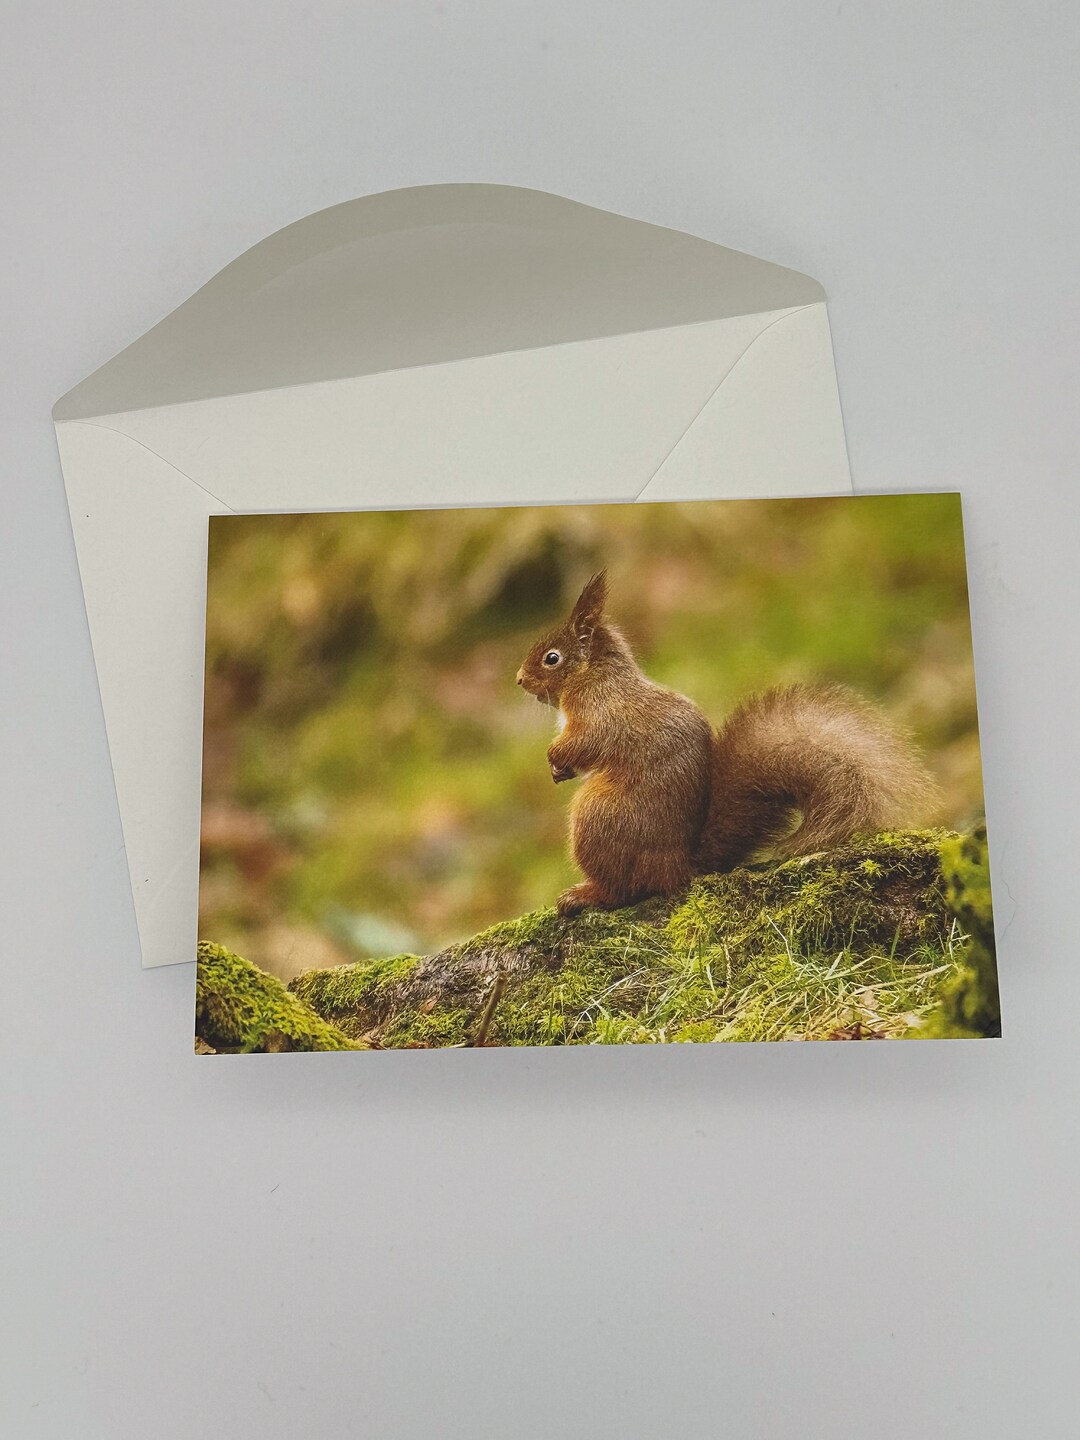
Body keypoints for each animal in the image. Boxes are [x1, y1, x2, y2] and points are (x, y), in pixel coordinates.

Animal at [515, 571, 936, 917]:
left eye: (552, 658)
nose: (519, 679)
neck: (595, 676)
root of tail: (678, 868)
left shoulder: (601, 714)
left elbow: (585, 743)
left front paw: (555, 758)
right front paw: (558, 769)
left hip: (596, 819)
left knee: (623, 891)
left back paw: (585, 895)